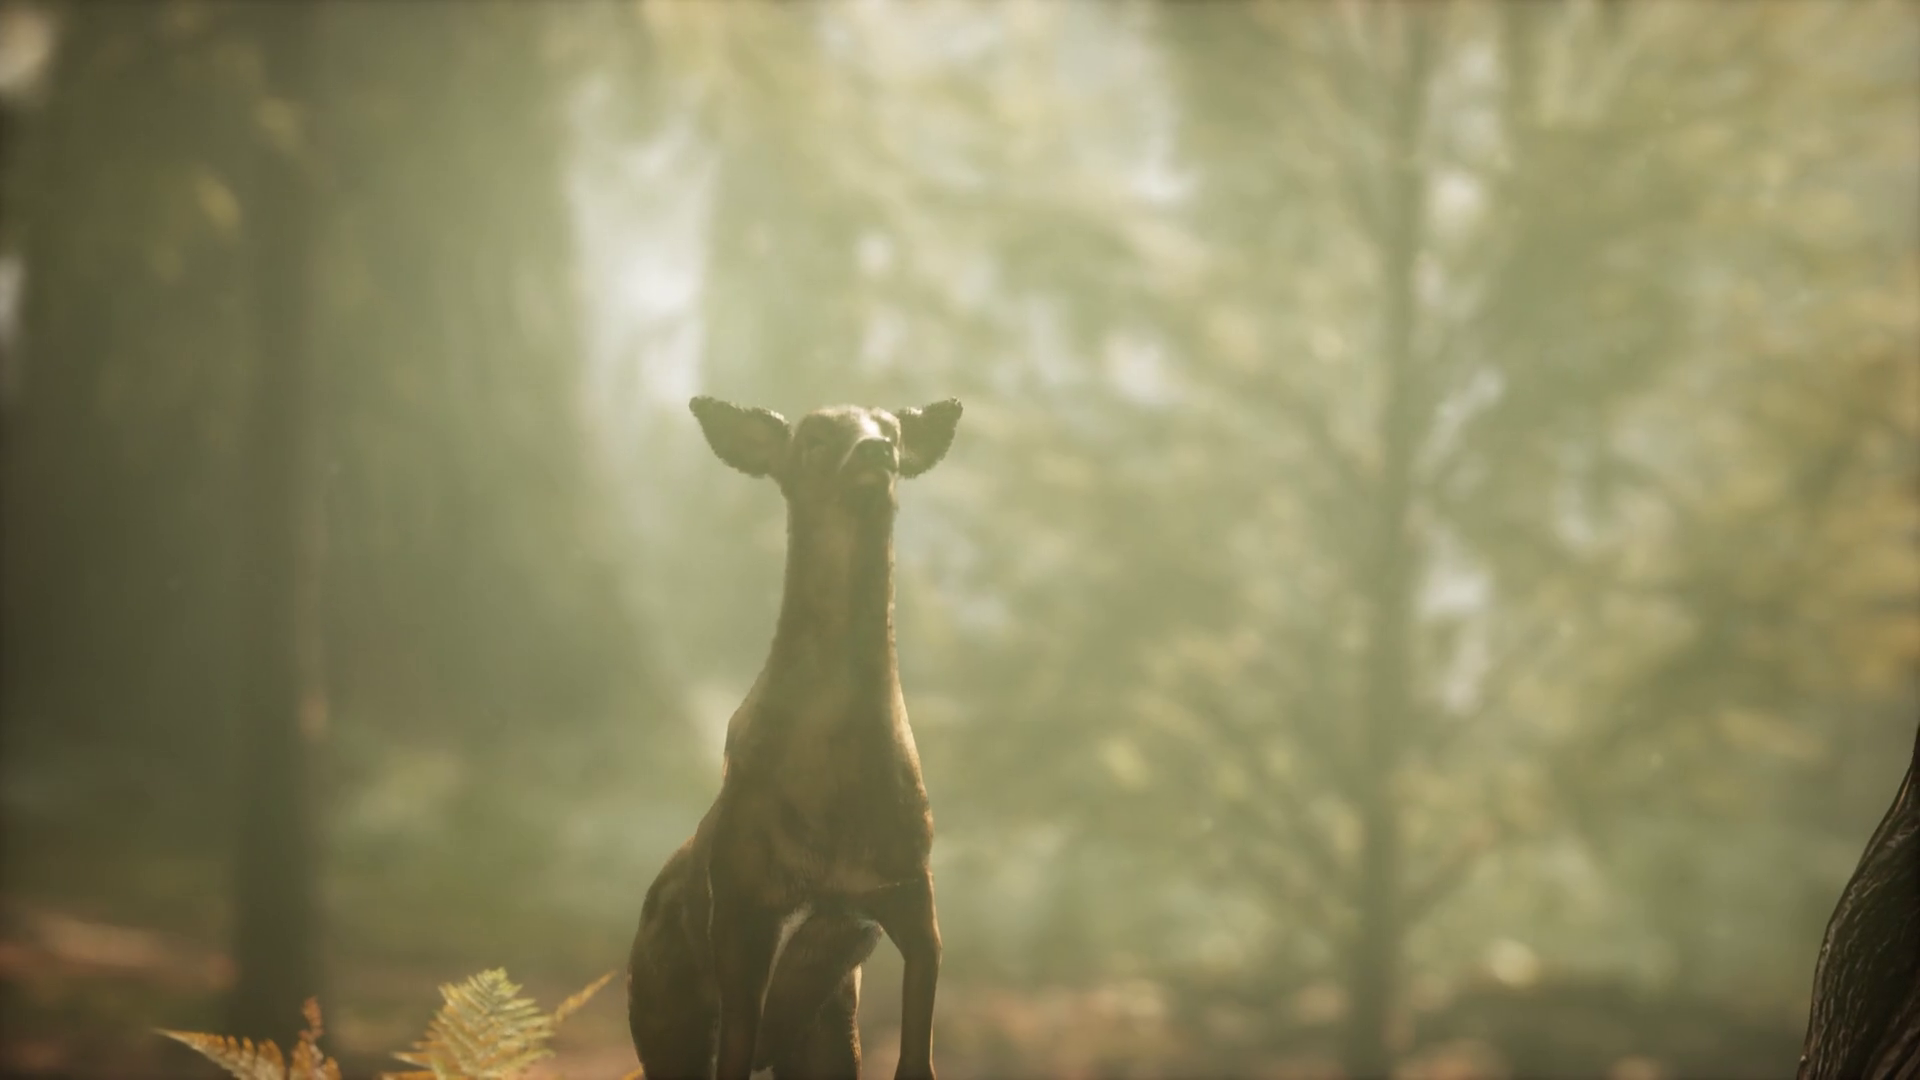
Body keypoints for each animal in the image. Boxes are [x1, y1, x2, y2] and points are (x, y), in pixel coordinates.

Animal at [628, 396, 963, 1080]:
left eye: (892, 431)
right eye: (813, 437)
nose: (874, 453)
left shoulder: (910, 896)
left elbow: (918, 1059)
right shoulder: (745, 912)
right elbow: (732, 1060)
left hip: (826, 1028)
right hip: (664, 1019)